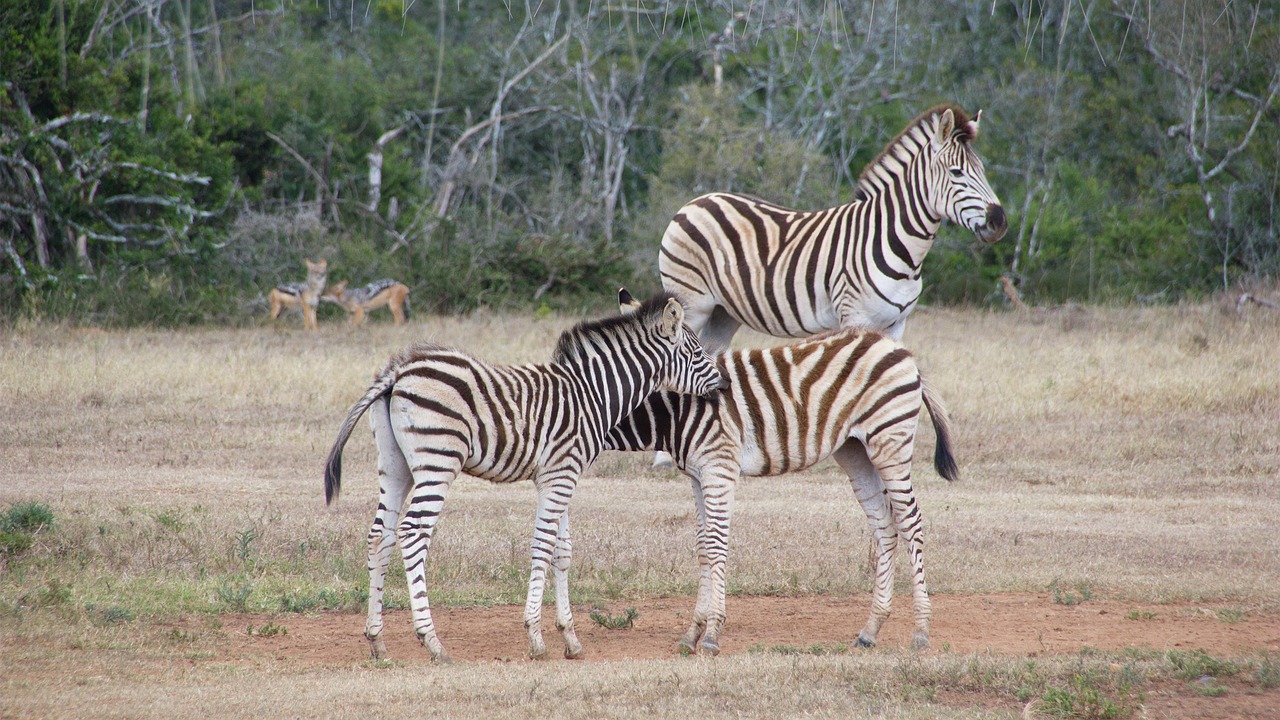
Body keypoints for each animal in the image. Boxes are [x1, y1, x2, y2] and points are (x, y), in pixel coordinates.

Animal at [323, 292, 726, 663]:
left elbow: (563, 551)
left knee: (381, 535)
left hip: (395, 466)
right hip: (438, 461)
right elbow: (543, 546)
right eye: (695, 353)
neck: (592, 395)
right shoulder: (560, 474)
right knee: (412, 533)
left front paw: (570, 639)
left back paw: (377, 641)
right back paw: (432, 642)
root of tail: (398, 371)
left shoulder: (560, 475)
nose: (723, 385)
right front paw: (536, 637)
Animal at [599, 290, 958, 653]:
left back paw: (921, 632)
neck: (675, 409)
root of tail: (896, 347)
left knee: (910, 522)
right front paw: (691, 634)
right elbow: (702, 547)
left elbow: (715, 545)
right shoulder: (699, 476)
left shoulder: (720, 468)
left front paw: (712, 634)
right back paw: (870, 630)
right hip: (855, 450)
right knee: (885, 525)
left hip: (890, 440)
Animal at [659, 103, 1007, 353]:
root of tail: (695, 201)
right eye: (957, 172)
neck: (899, 246)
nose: (999, 221)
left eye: (982, 169)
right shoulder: (855, 317)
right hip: (692, 302)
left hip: (724, 312)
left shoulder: (896, 324)